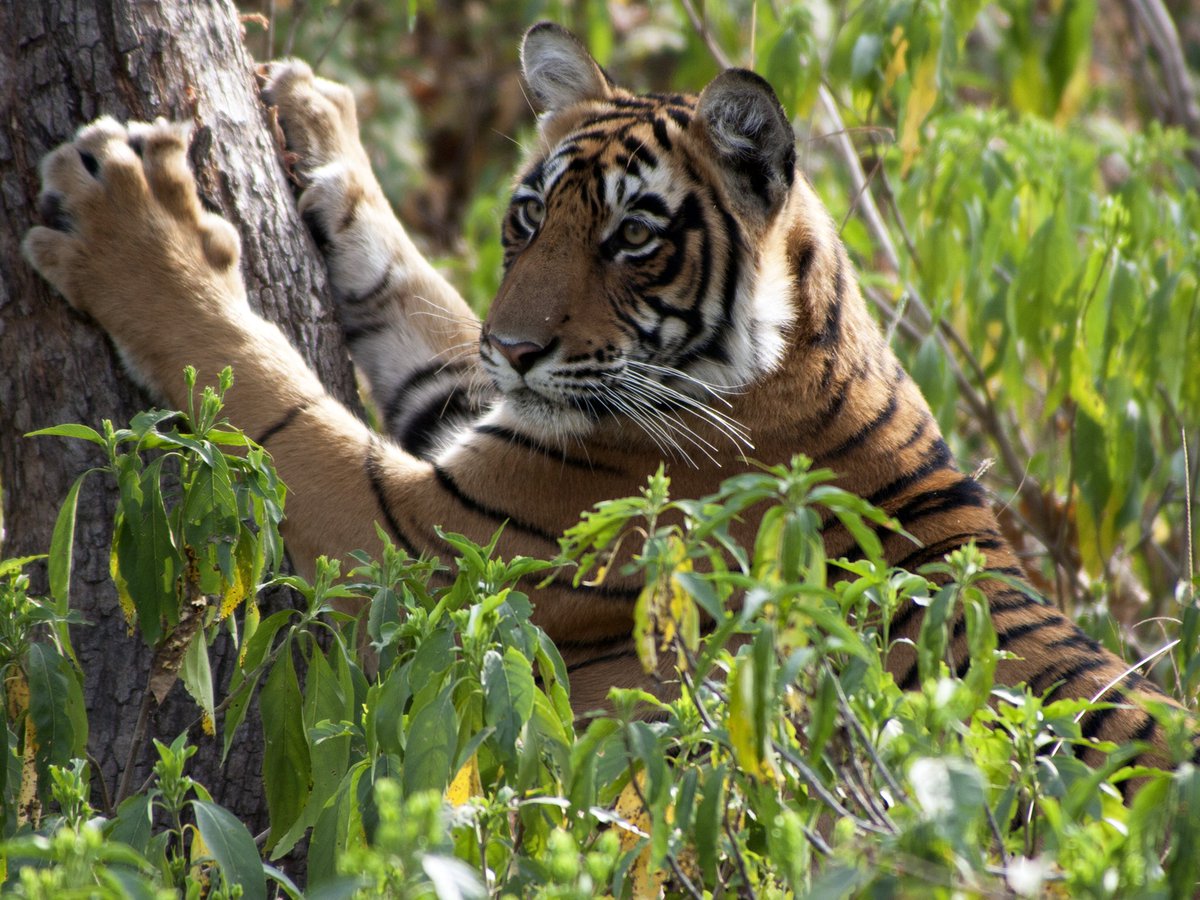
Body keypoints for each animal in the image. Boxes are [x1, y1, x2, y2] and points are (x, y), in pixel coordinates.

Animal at [23, 22, 1186, 775]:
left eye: (633, 236)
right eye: (529, 217)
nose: (514, 348)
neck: (808, 340)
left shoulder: (433, 542)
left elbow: (264, 387)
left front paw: (136, 226)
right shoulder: (482, 416)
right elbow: (405, 283)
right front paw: (317, 113)